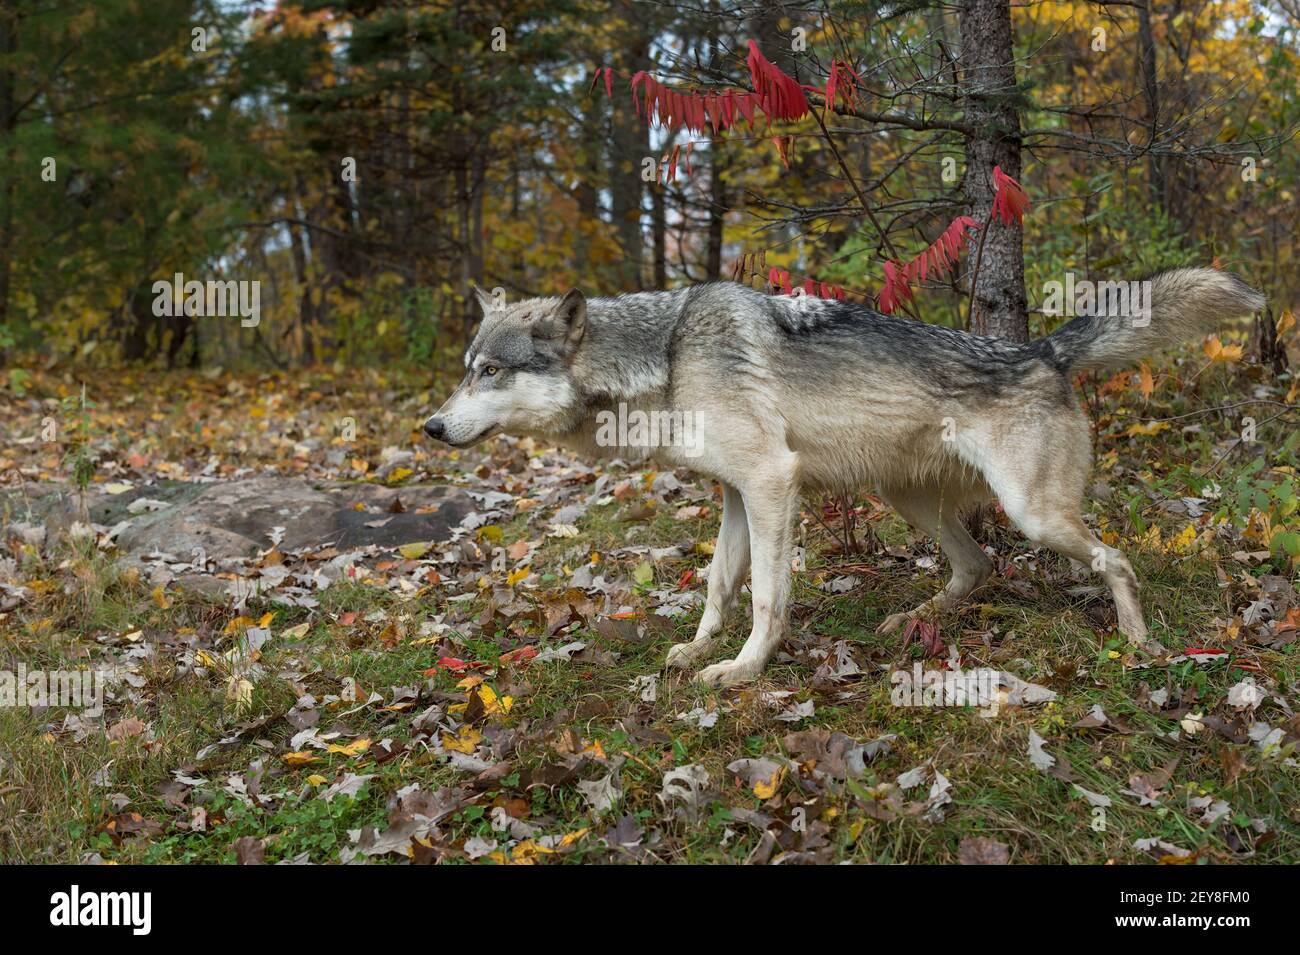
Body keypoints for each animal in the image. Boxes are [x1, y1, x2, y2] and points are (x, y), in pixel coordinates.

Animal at [424, 269, 1264, 686]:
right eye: (464, 370)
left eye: (491, 372)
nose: (430, 427)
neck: (663, 357)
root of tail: (1042, 349)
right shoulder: (736, 496)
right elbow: (718, 585)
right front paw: (697, 650)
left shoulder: (770, 482)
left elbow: (766, 596)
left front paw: (743, 670)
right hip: (909, 499)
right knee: (977, 565)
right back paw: (911, 620)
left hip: (1033, 512)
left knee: (1114, 559)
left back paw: (1138, 642)